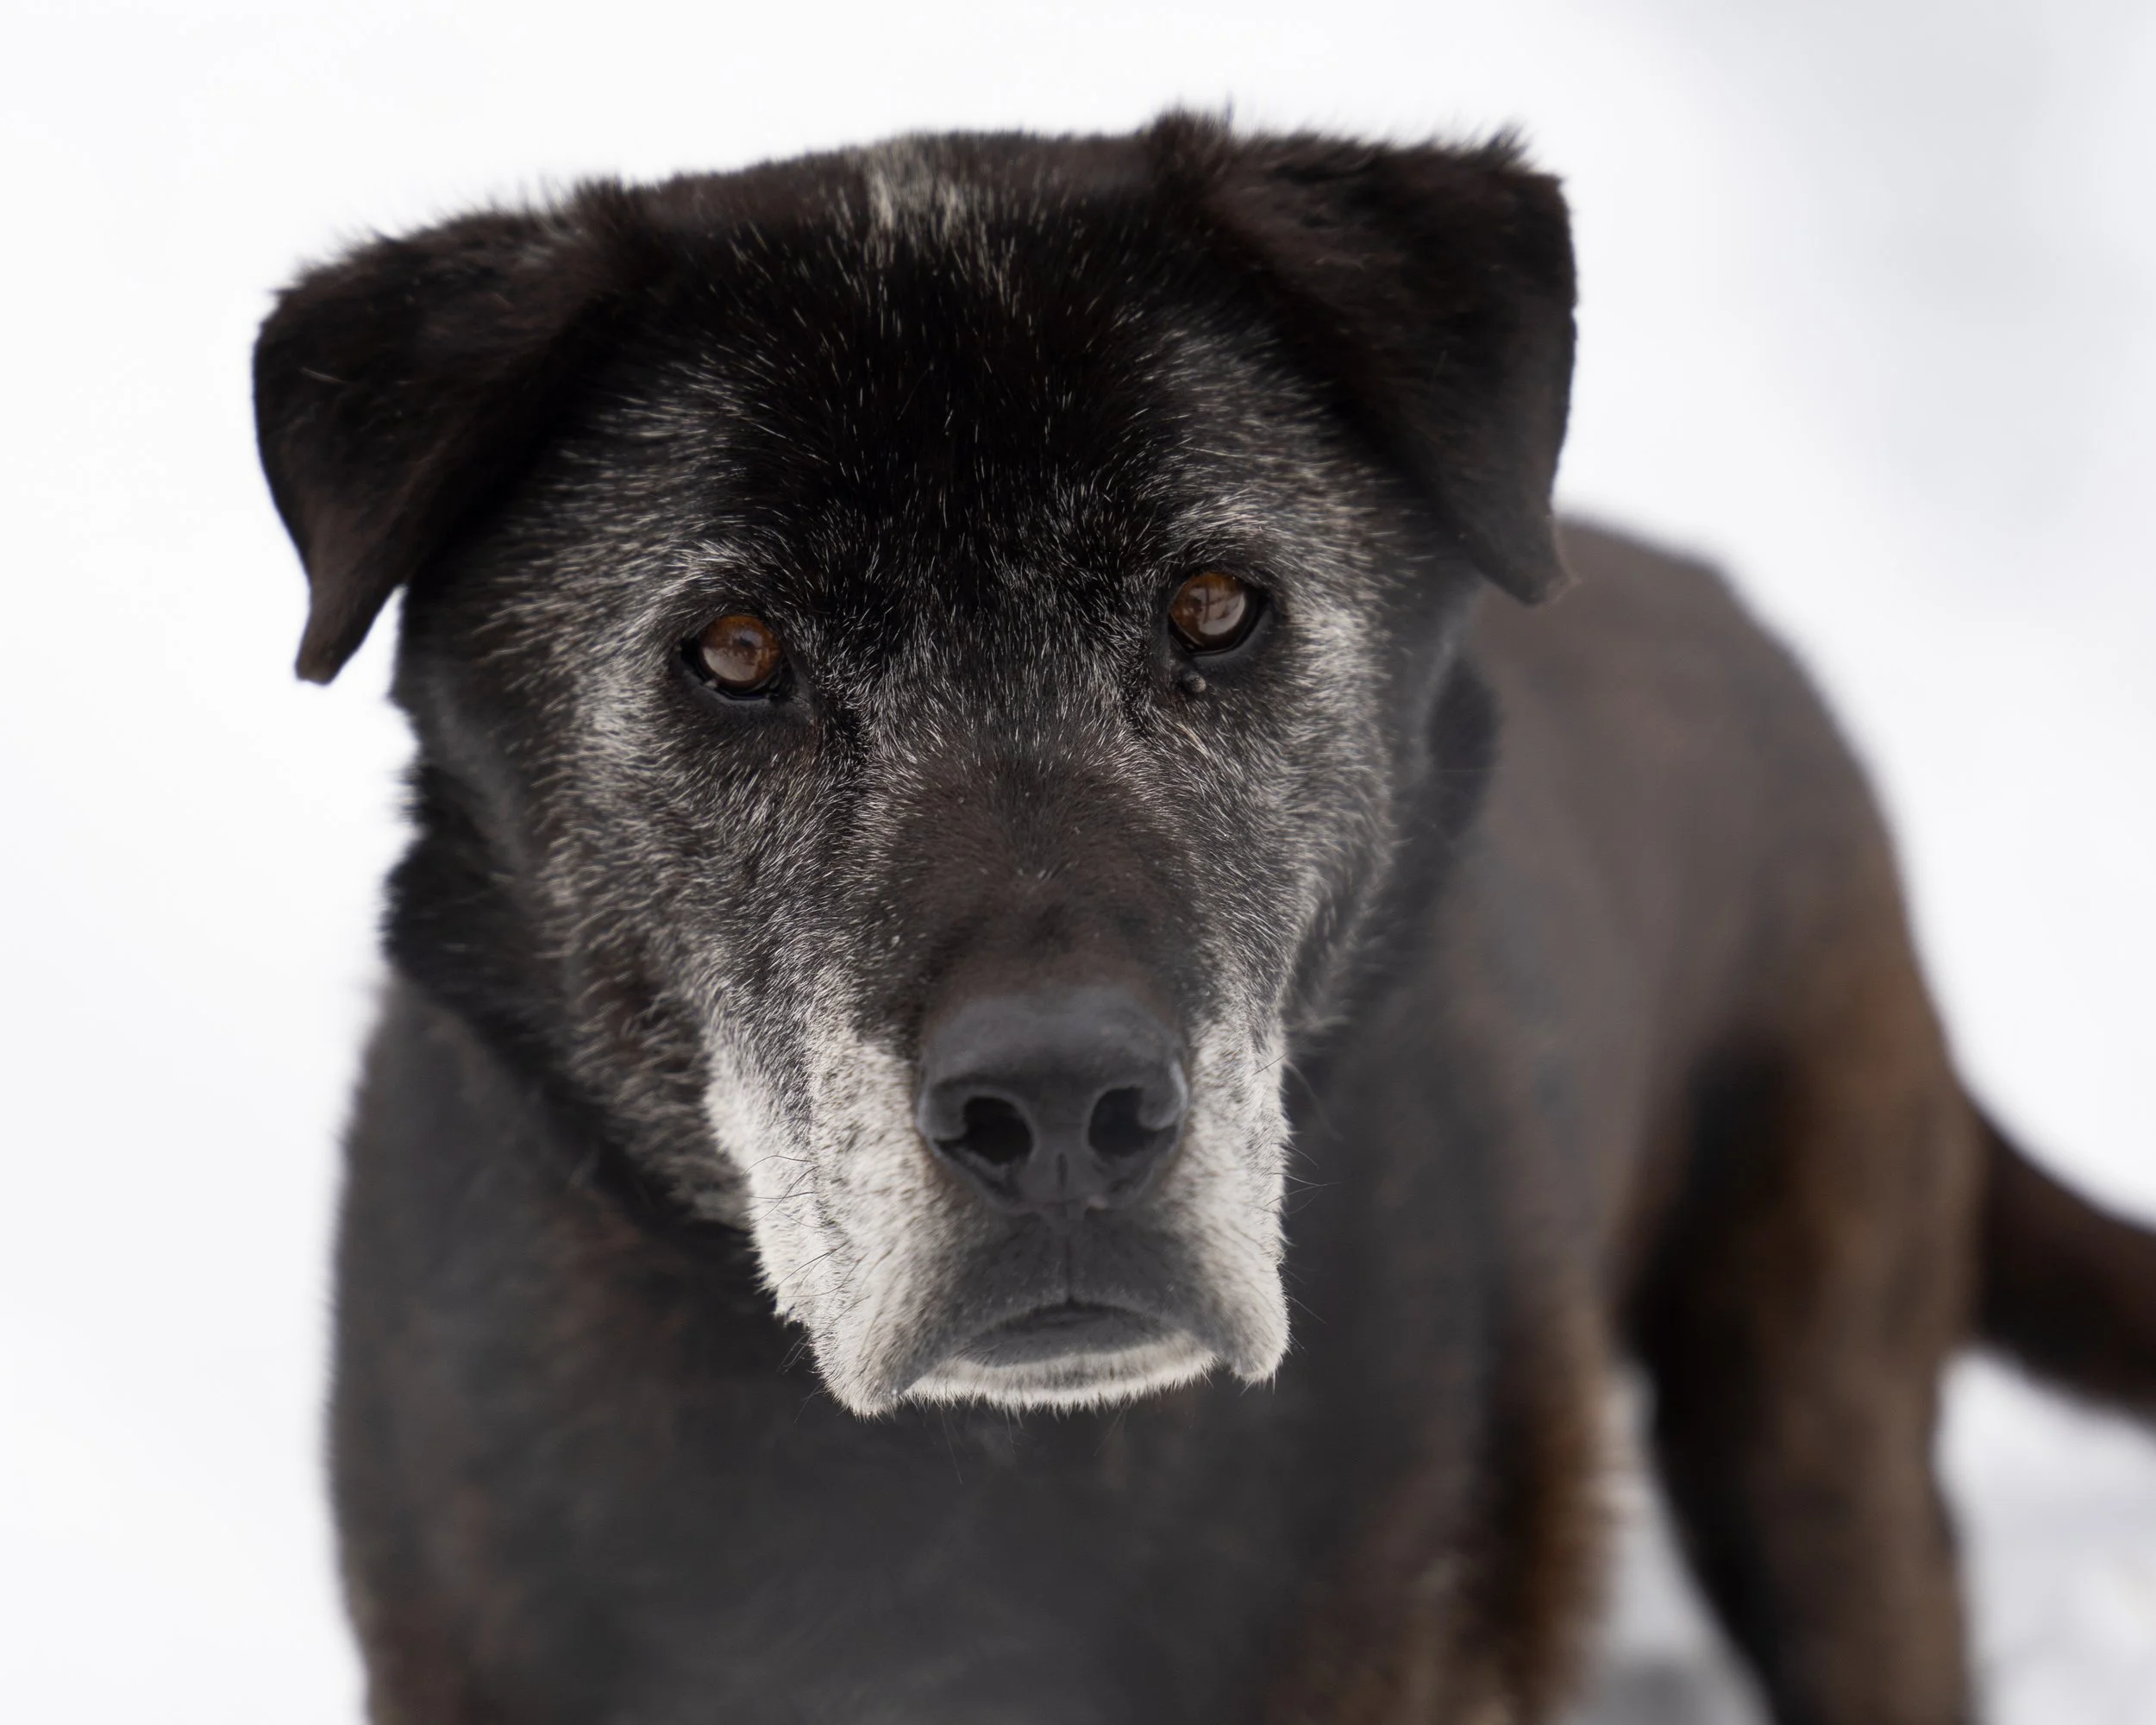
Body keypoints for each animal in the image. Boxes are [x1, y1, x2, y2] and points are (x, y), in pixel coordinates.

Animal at [255, 116, 2156, 1723]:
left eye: (1216, 605)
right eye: (734, 651)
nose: (1059, 1110)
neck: (944, 1497)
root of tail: (1742, 619)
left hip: (1806, 1427)